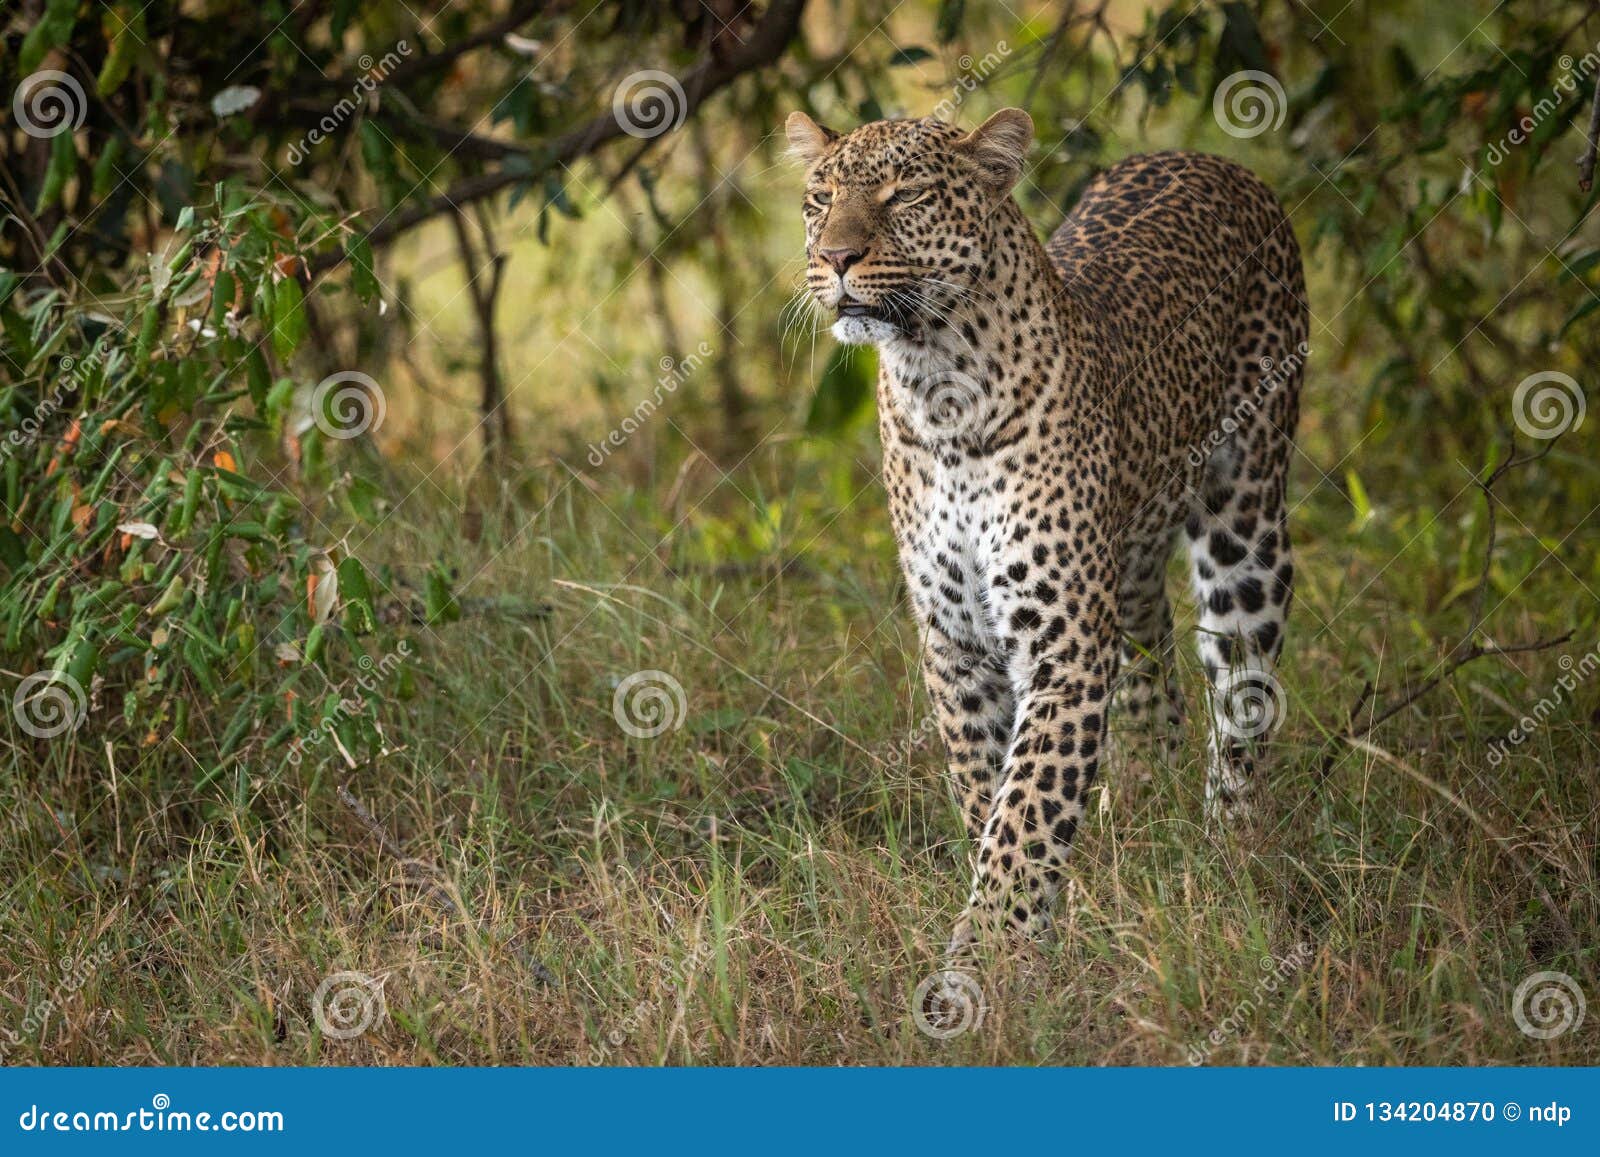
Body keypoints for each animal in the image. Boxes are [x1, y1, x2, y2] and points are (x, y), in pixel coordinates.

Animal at [786, 107, 1308, 953]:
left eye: (906, 196)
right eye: (820, 198)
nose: (836, 256)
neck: (938, 387)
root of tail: (1210, 160)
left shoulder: (1061, 639)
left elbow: (1027, 804)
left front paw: (987, 950)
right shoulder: (955, 636)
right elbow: (989, 787)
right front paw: (1037, 914)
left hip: (1249, 524)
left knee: (1242, 698)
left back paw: (1230, 854)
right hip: (1131, 555)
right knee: (1151, 659)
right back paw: (1143, 807)